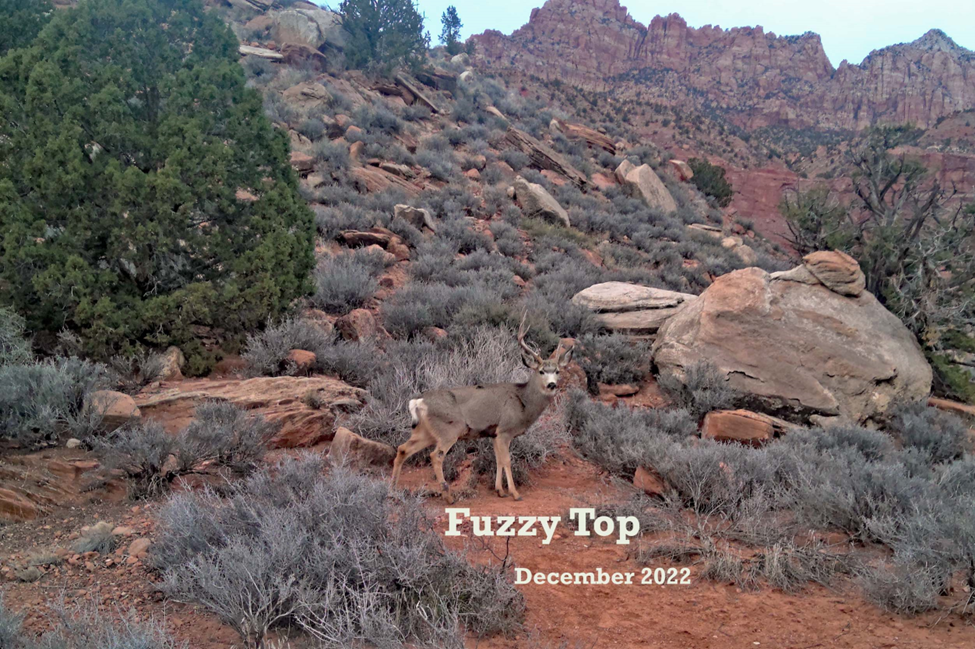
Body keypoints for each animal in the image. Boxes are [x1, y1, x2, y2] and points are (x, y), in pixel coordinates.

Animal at [390, 318, 573, 504]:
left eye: (557, 371)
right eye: (541, 371)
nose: (552, 385)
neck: (523, 401)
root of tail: (419, 401)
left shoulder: (494, 434)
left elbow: (498, 460)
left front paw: (500, 490)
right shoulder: (505, 430)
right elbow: (507, 460)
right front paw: (515, 493)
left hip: (425, 432)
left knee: (403, 449)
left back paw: (392, 491)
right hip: (449, 429)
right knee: (435, 456)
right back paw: (448, 496)